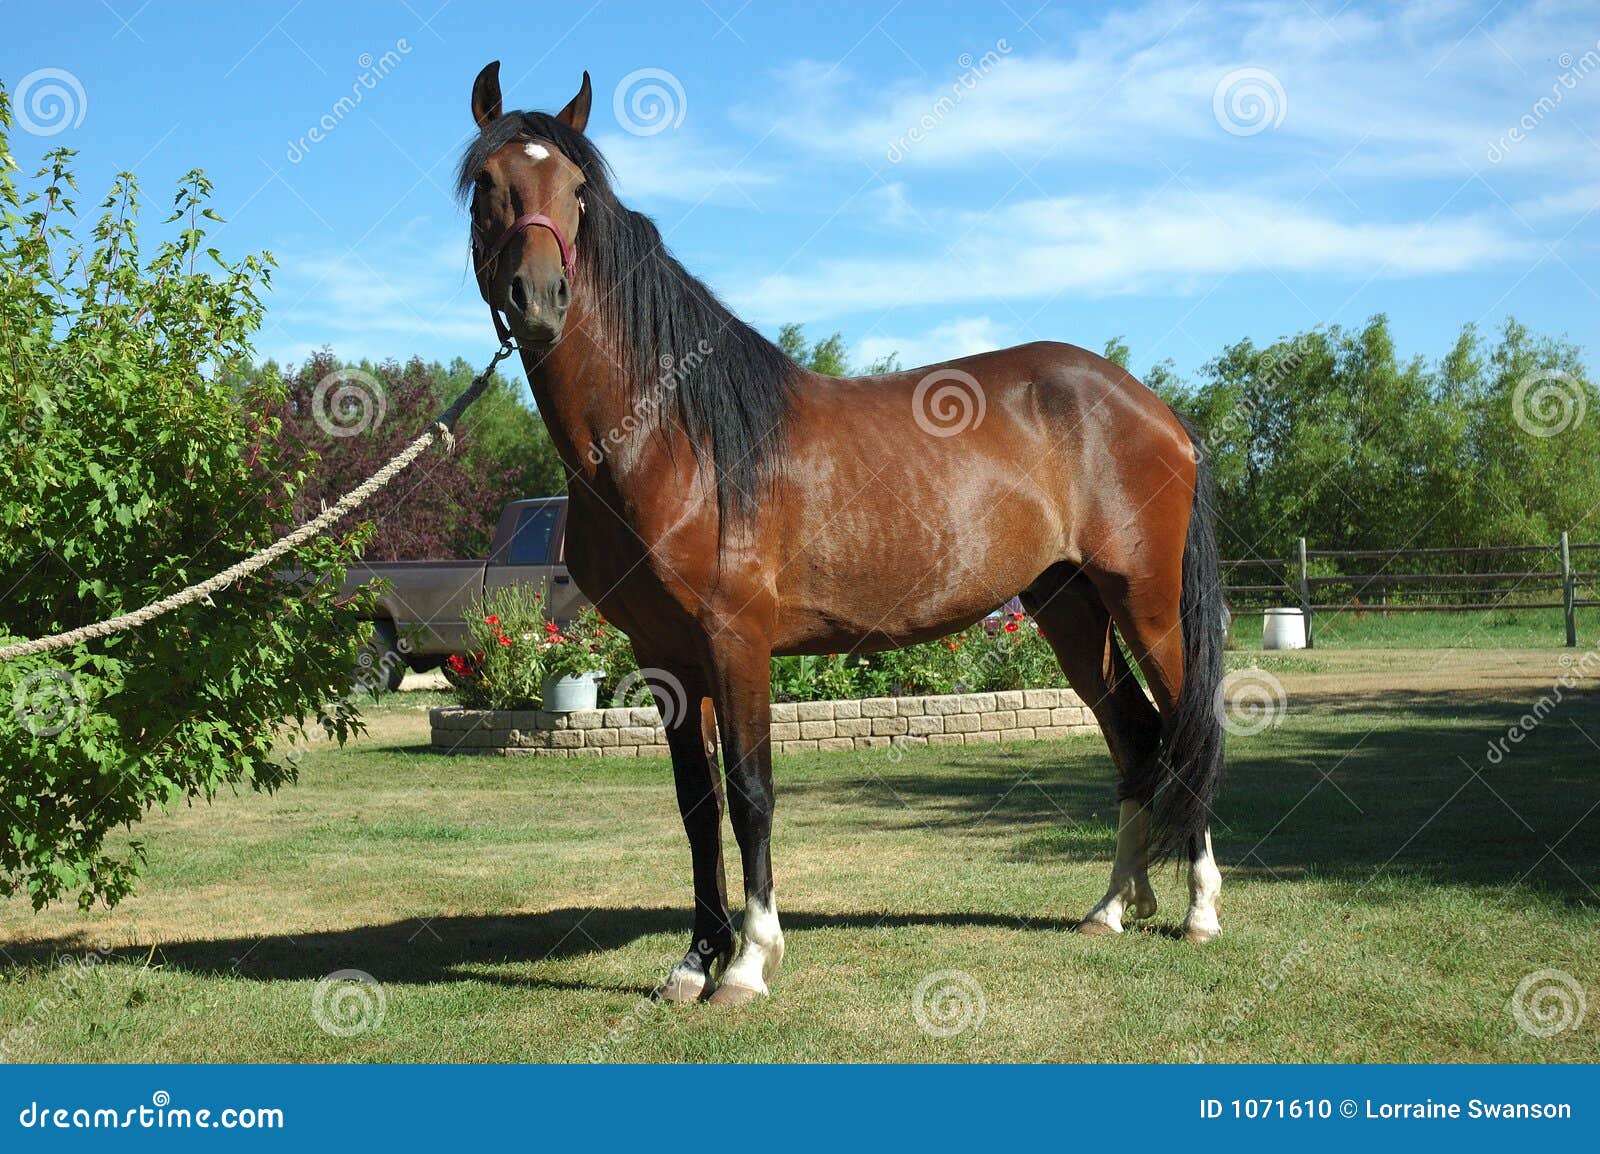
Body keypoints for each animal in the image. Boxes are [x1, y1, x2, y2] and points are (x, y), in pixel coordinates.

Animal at [459, 64, 1227, 1005]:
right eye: (487, 186)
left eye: (575, 191)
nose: (539, 300)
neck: (672, 432)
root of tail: (1157, 411)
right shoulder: (667, 655)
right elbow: (696, 804)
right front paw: (694, 961)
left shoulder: (736, 641)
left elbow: (751, 792)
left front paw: (750, 962)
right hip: (1070, 608)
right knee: (1136, 738)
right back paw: (1113, 906)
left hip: (1145, 603)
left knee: (1189, 729)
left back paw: (1199, 912)